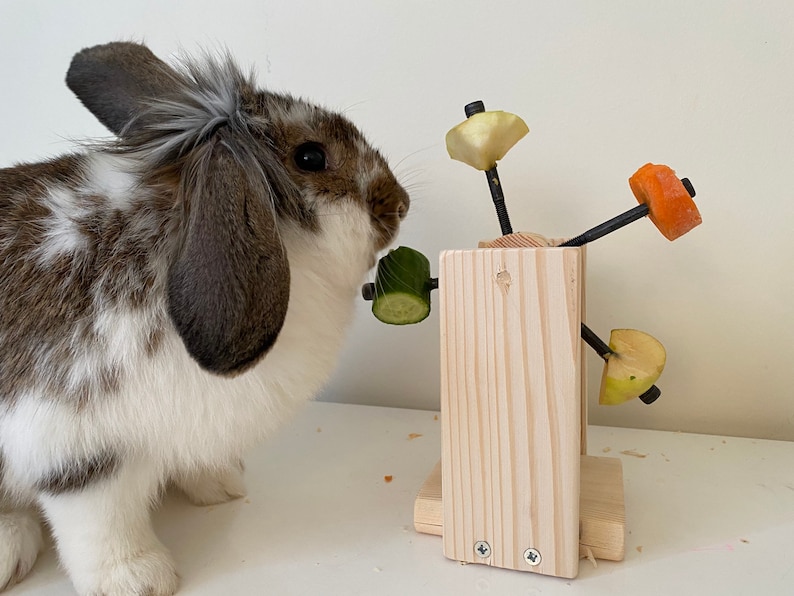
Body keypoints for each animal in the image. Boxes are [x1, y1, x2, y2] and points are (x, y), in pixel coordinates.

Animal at [0, 41, 409, 595]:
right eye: (311, 156)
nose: (400, 203)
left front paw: (221, 482)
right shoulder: (71, 447)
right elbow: (101, 524)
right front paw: (137, 579)